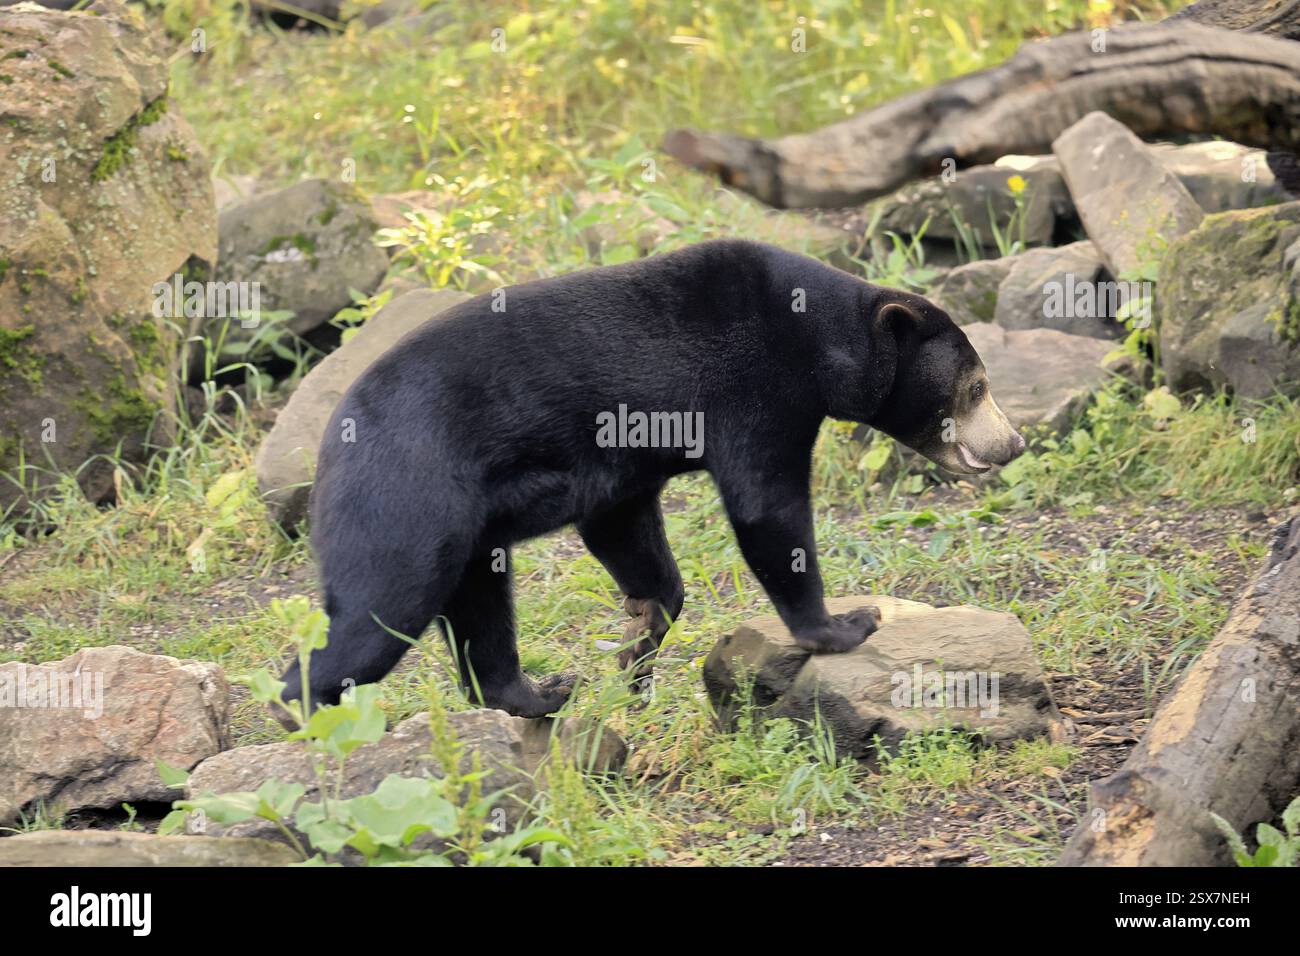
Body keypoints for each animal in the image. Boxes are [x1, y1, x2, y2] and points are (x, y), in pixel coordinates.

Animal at [279, 238, 1025, 719]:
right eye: (976, 386)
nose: (1013, 442)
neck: (818, 338)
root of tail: (332, 442)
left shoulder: (627, 462)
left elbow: (624, 531)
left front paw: (636, 643)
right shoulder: (754, 388)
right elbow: (767, 508)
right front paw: (846, 624)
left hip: (465, 530)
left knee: (481, 611)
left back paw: (540, 695)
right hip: (407, 497)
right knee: (380, 608)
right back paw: (309, 714)